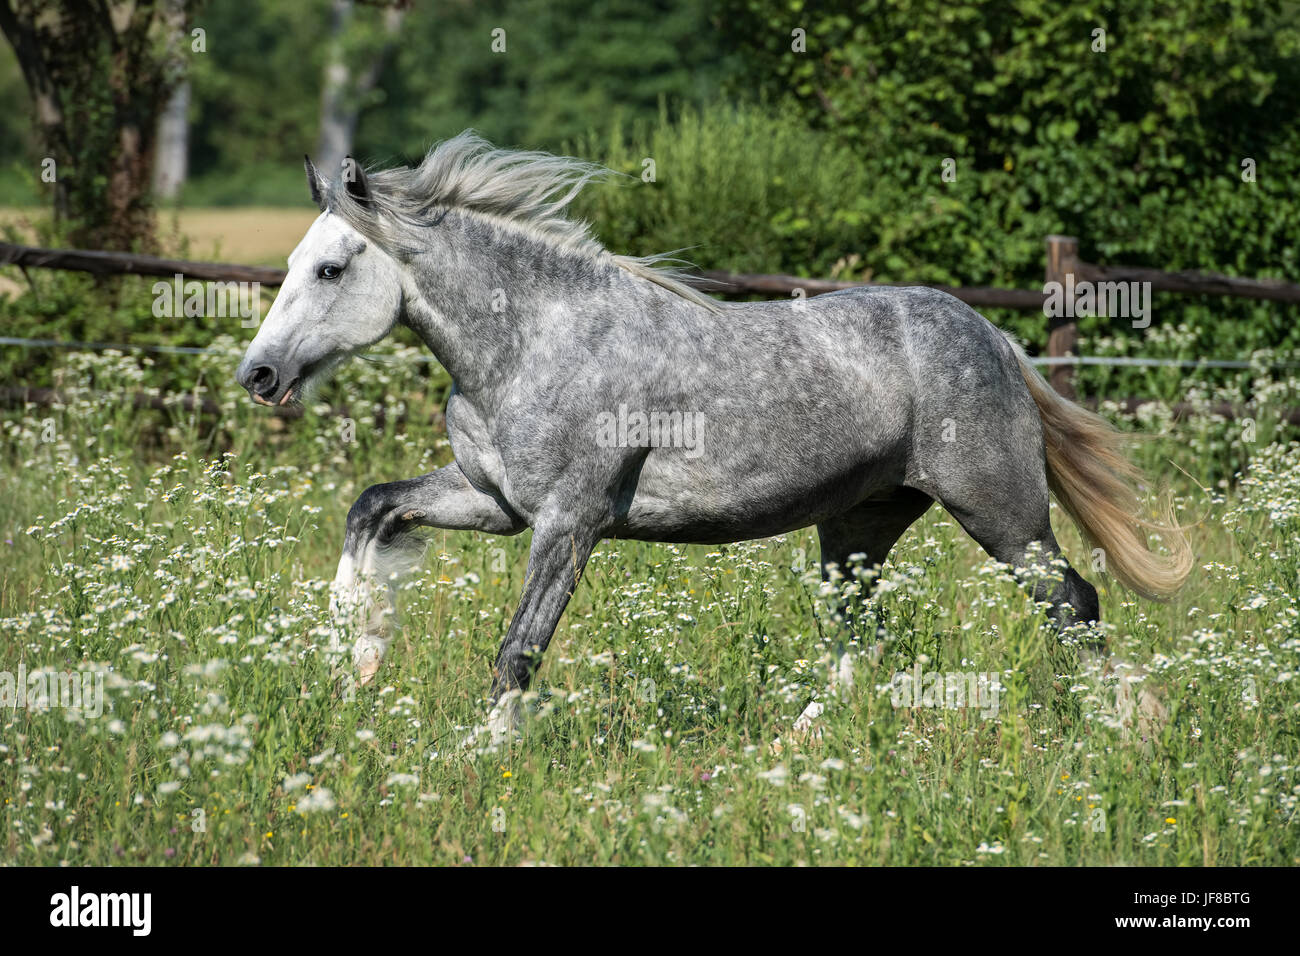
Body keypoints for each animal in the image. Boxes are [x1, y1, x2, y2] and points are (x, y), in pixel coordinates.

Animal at [235, 132, 1192, 744]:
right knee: (859, 636)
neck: (535, 339)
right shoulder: (492, 501)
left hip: (1000, 512)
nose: (260, 376)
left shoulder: (569, 522)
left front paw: (482, 751)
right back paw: (795, 746)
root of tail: (994, 337)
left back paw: (1131, 729)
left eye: (331, 268)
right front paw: (353, 657)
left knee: (1074, 602)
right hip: (860, 526)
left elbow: (519, 646)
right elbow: (373, 509)